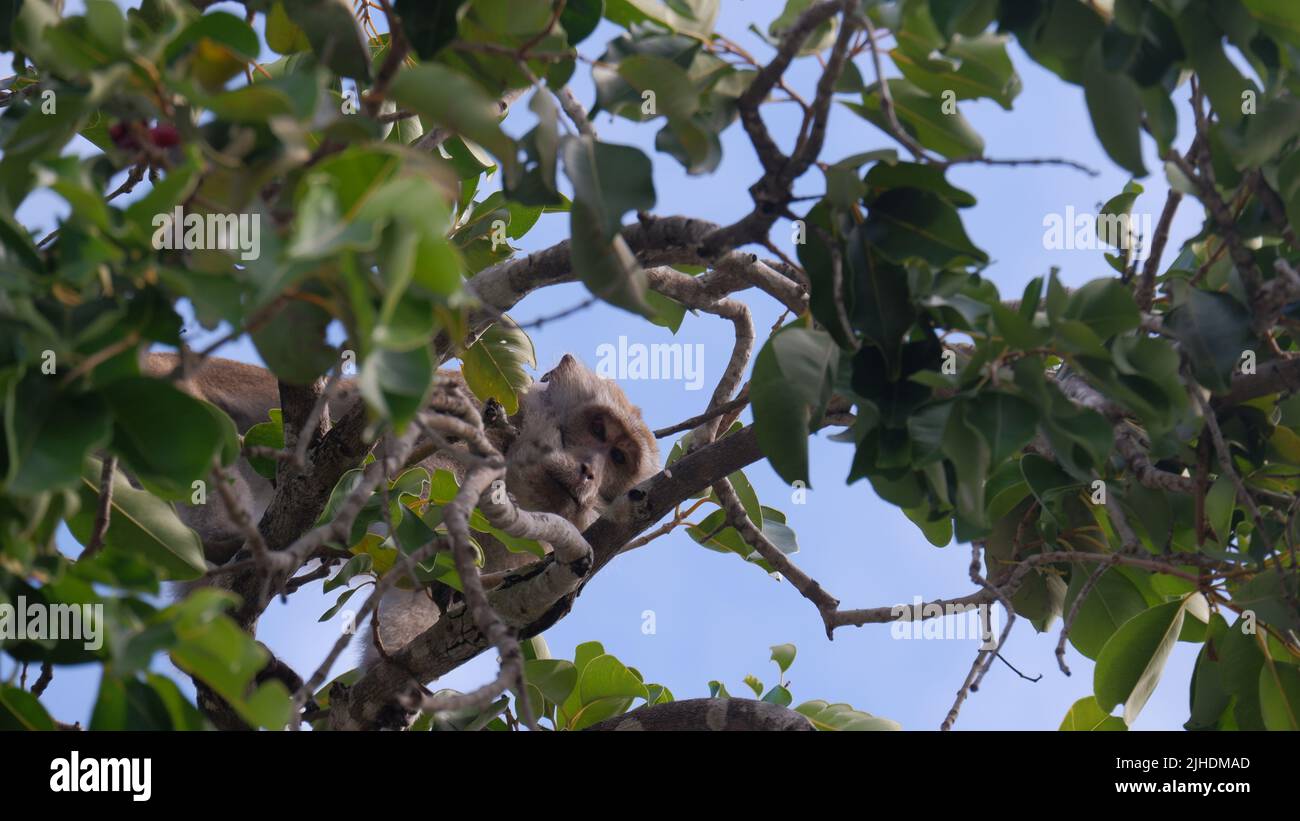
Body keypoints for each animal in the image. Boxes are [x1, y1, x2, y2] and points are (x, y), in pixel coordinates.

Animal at [140, 350, 660, 669]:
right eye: (597, 428)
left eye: (619, 458)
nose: (590, 473)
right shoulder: (472, 402)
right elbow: (418, 470)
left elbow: (417, 600)